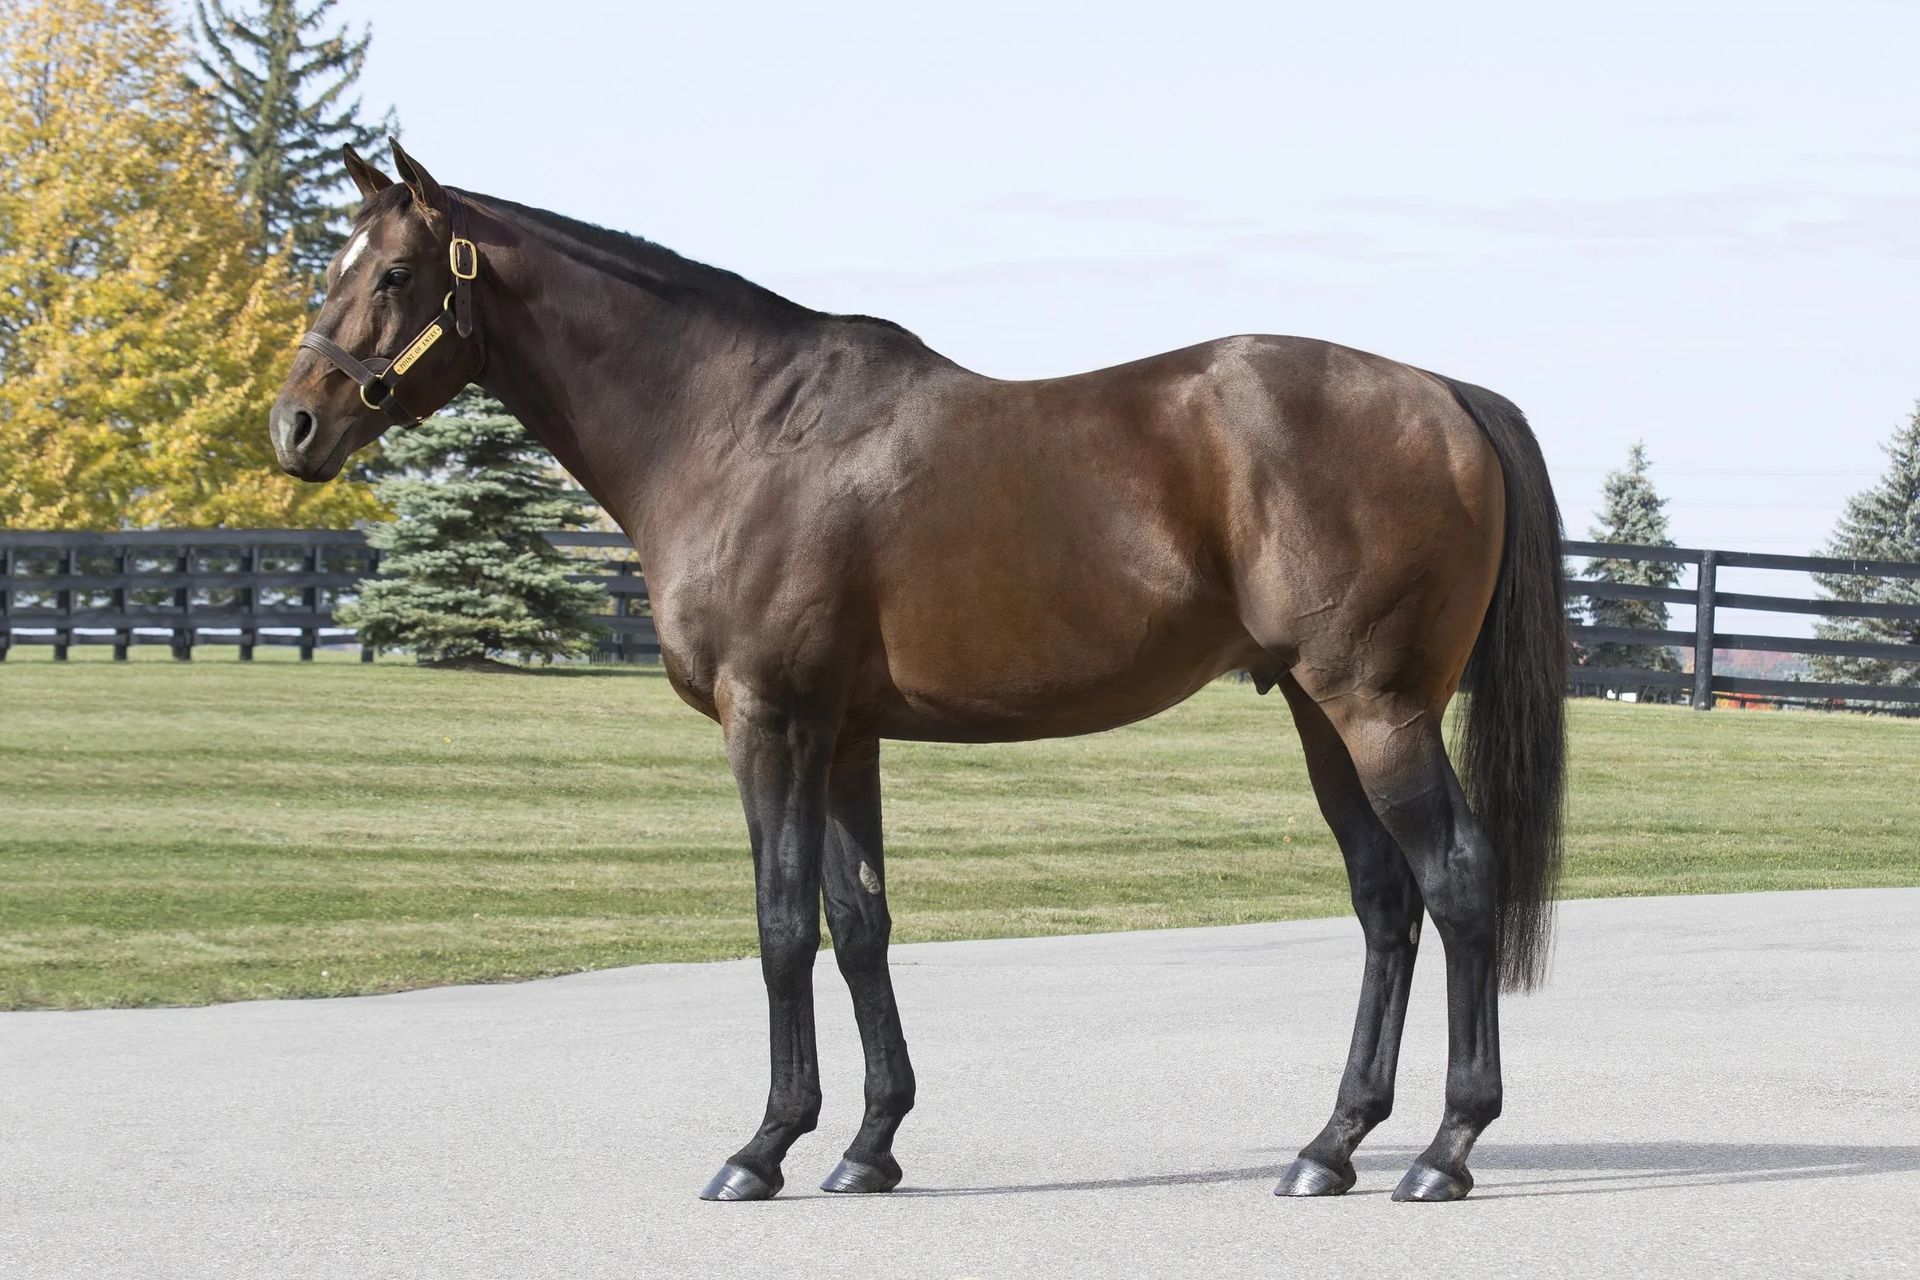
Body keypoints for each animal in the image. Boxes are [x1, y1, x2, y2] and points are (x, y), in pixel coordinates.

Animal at [271, 140, 1567, 1205]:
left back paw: (1446, 1150)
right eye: (335, 266)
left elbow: (781, 922)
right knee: (1386, 899)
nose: (294, 428)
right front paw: (867, 1144)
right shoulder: (844, 733)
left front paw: (763, 1147)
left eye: (394, 275)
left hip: (1376, 707)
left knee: (1456, 879)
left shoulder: (769, 720)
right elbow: (859, 921)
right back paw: (1330, 1145)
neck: (736, 425)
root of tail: (1447, 394)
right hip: (1319, 707)